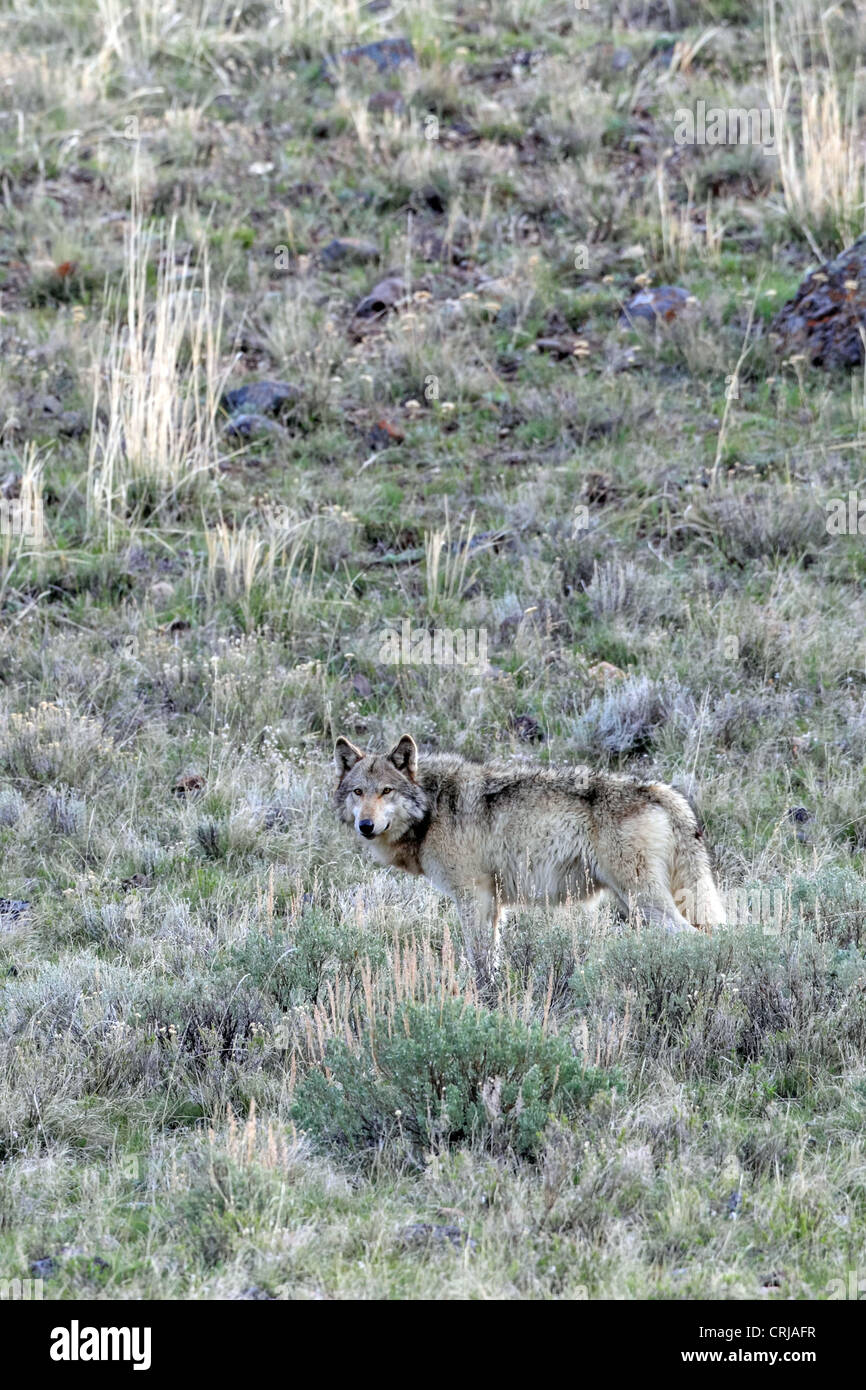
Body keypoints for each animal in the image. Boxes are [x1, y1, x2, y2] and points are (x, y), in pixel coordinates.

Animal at [333, 734, 726, 988]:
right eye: (358, 792)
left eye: (387, 791)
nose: (365, 825)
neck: (432, 808)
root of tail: (661, 792)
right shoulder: (493, 903)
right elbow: (490, 956)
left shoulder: (474, 896)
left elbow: (478, 957)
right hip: (638, 906)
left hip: (646, 905)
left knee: (700, 941)